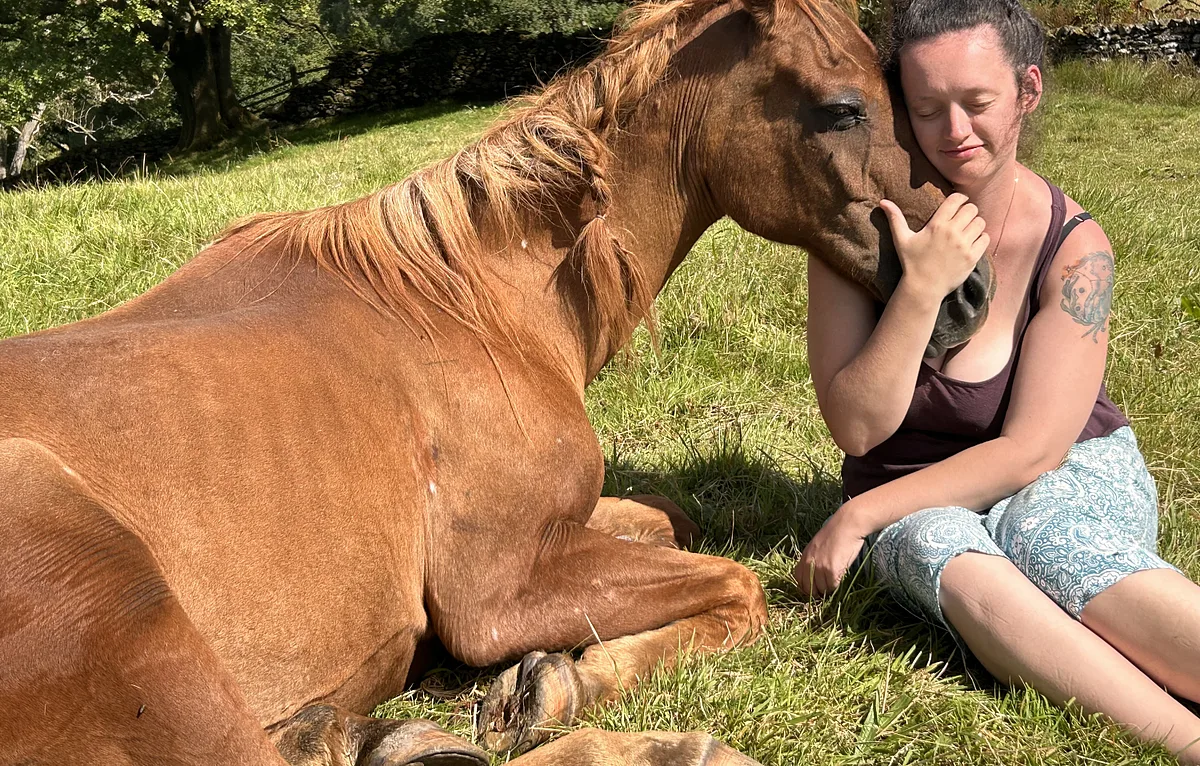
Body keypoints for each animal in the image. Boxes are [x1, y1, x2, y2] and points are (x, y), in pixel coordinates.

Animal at [0, 0, 992, 763]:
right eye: (843, 107)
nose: (971, 292)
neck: (474, 301)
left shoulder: (565, 531)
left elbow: (674, 518)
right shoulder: (498, 591)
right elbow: (739, 587)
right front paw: (559, 683)